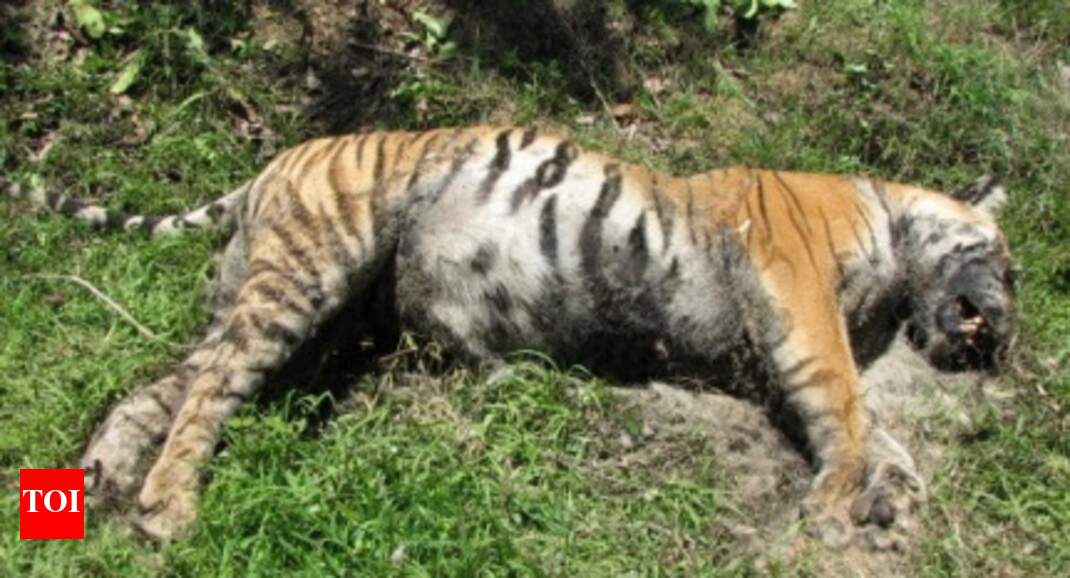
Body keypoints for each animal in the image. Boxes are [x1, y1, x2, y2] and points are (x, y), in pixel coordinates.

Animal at [1, 125, 1016, 548]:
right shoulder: (798, 302)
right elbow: (843, 401)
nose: (1007, 333)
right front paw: (837, 504)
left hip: (285, 303)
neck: (891, 226)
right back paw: (166, 509)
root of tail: (273, 160)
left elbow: (875, 423)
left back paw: (99, 475)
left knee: (166, 384)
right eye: (1008, 265)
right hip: (307, 269)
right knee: (210, 389)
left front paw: (895, 489)